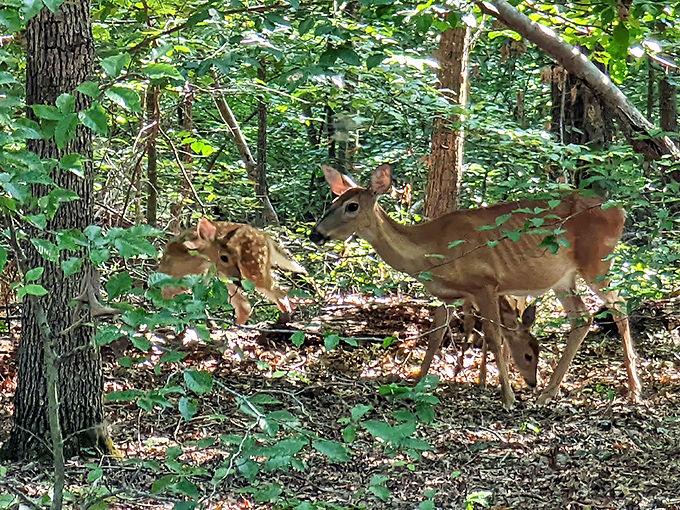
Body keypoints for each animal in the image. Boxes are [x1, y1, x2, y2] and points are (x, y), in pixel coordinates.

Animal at [159, 217, 307, 324]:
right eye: (224, 257)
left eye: (236, 256)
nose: (239, 276)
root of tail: (267, 238)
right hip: (226, 276)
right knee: (245, 305)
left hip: (253, 267)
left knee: (279, 292)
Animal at [310, 163, 641, 409]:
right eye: (333, 202)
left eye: (352, 206)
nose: (316, 234)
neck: (430, 252)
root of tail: (621, 211)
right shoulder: (448, 295)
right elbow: (436, 336)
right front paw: (416, 384)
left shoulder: (486, 284)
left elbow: (494, 337)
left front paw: (507, 398)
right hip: (563, 278)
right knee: (582, 317)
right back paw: (549, 392)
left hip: (597, 261)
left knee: (619, 305)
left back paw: (633, 390)